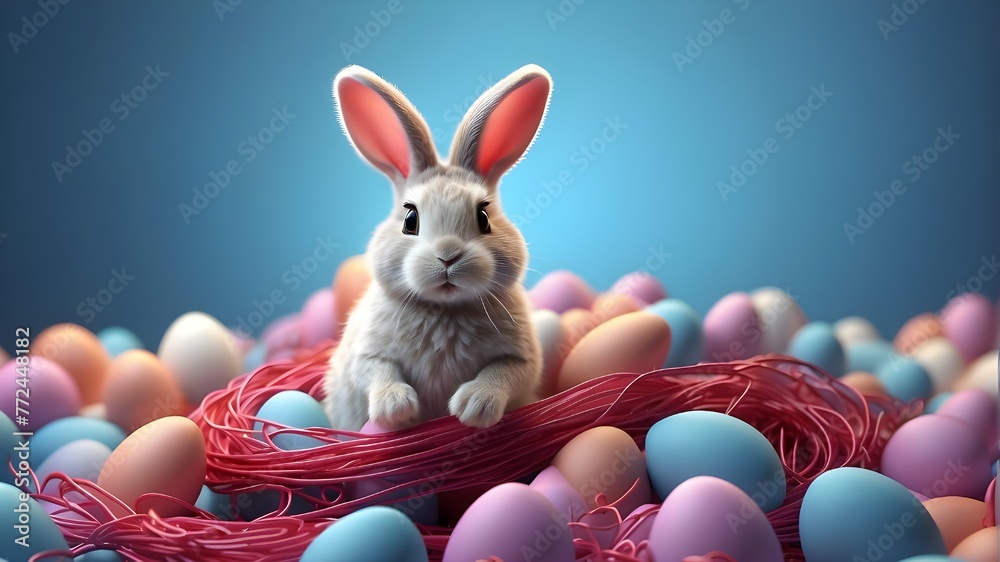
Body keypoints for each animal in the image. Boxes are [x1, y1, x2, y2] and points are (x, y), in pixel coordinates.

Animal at [323, 64, 552, 431]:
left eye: (484, 217)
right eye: (410, 219)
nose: (448, 256)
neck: (445, 310)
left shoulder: (521, 357)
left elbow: (503, 373)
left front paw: (473, 406)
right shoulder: (366, 353)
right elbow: (377, 371)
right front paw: (396, 407)